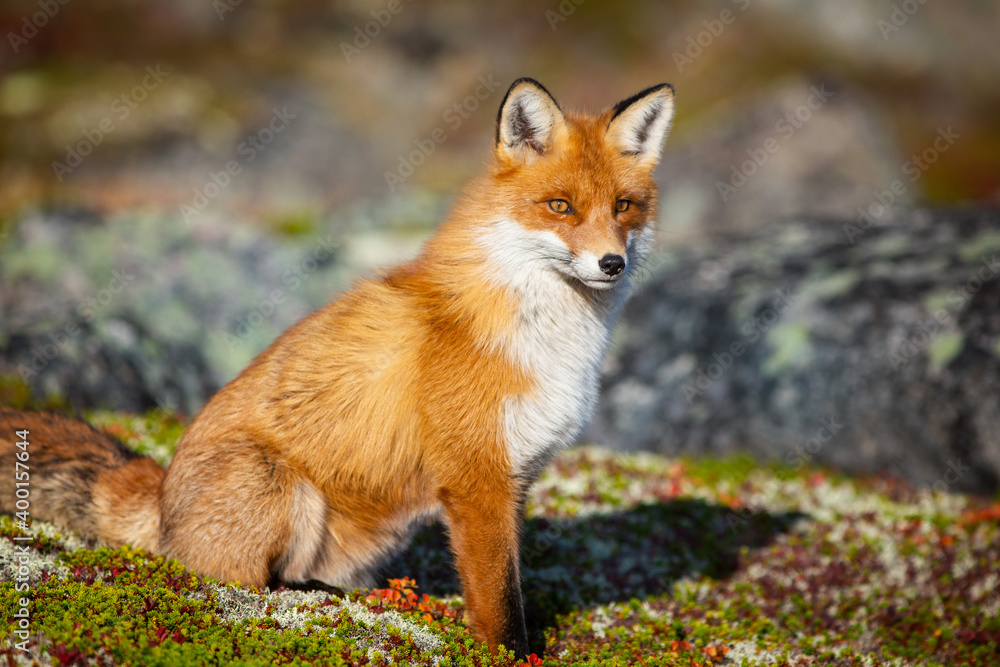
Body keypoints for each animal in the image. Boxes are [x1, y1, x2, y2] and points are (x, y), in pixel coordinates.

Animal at [0, 78, 674, 656]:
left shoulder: (517, 475)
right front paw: (513, 655)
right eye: (560, 206)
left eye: (623, 207)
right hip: (279, 487)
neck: (548, 337)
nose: (611, 264)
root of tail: (161, 499)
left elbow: (511, 584)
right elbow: (501, 603)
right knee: (243, 583)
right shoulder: (476, 479)